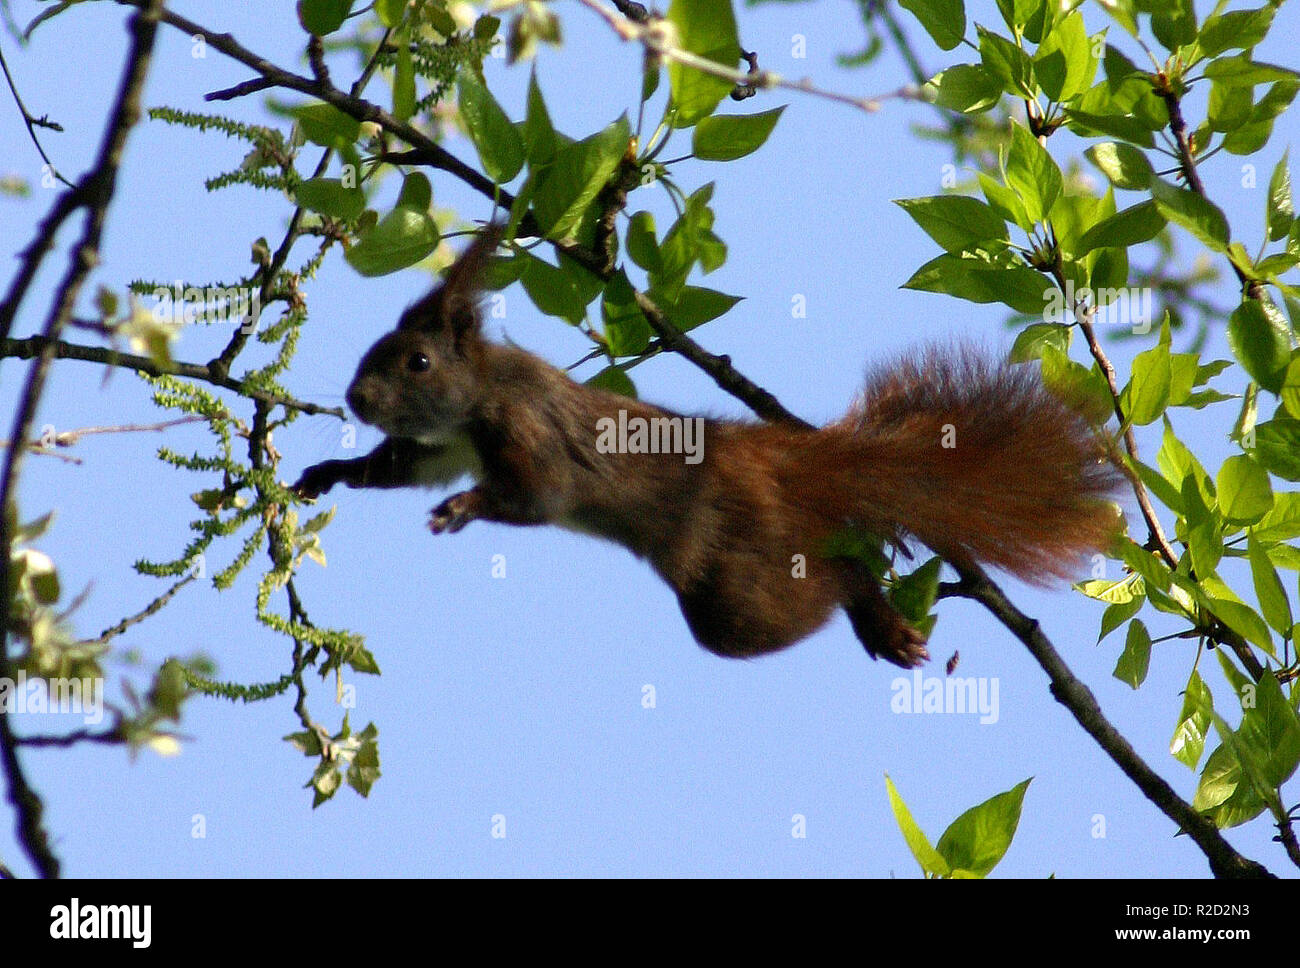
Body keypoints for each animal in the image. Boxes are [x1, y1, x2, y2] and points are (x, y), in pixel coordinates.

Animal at [293, 227, 1123, 667]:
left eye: (417, 362)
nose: (356, 400)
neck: (480, 397)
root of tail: (770, 453)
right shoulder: (449, 444)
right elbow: (405, 468)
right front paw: (328, 472)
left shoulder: (522, 429)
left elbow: (540, 493)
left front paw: (464, 509)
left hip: (733, 579)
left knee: (816, 582)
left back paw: (867, 607)